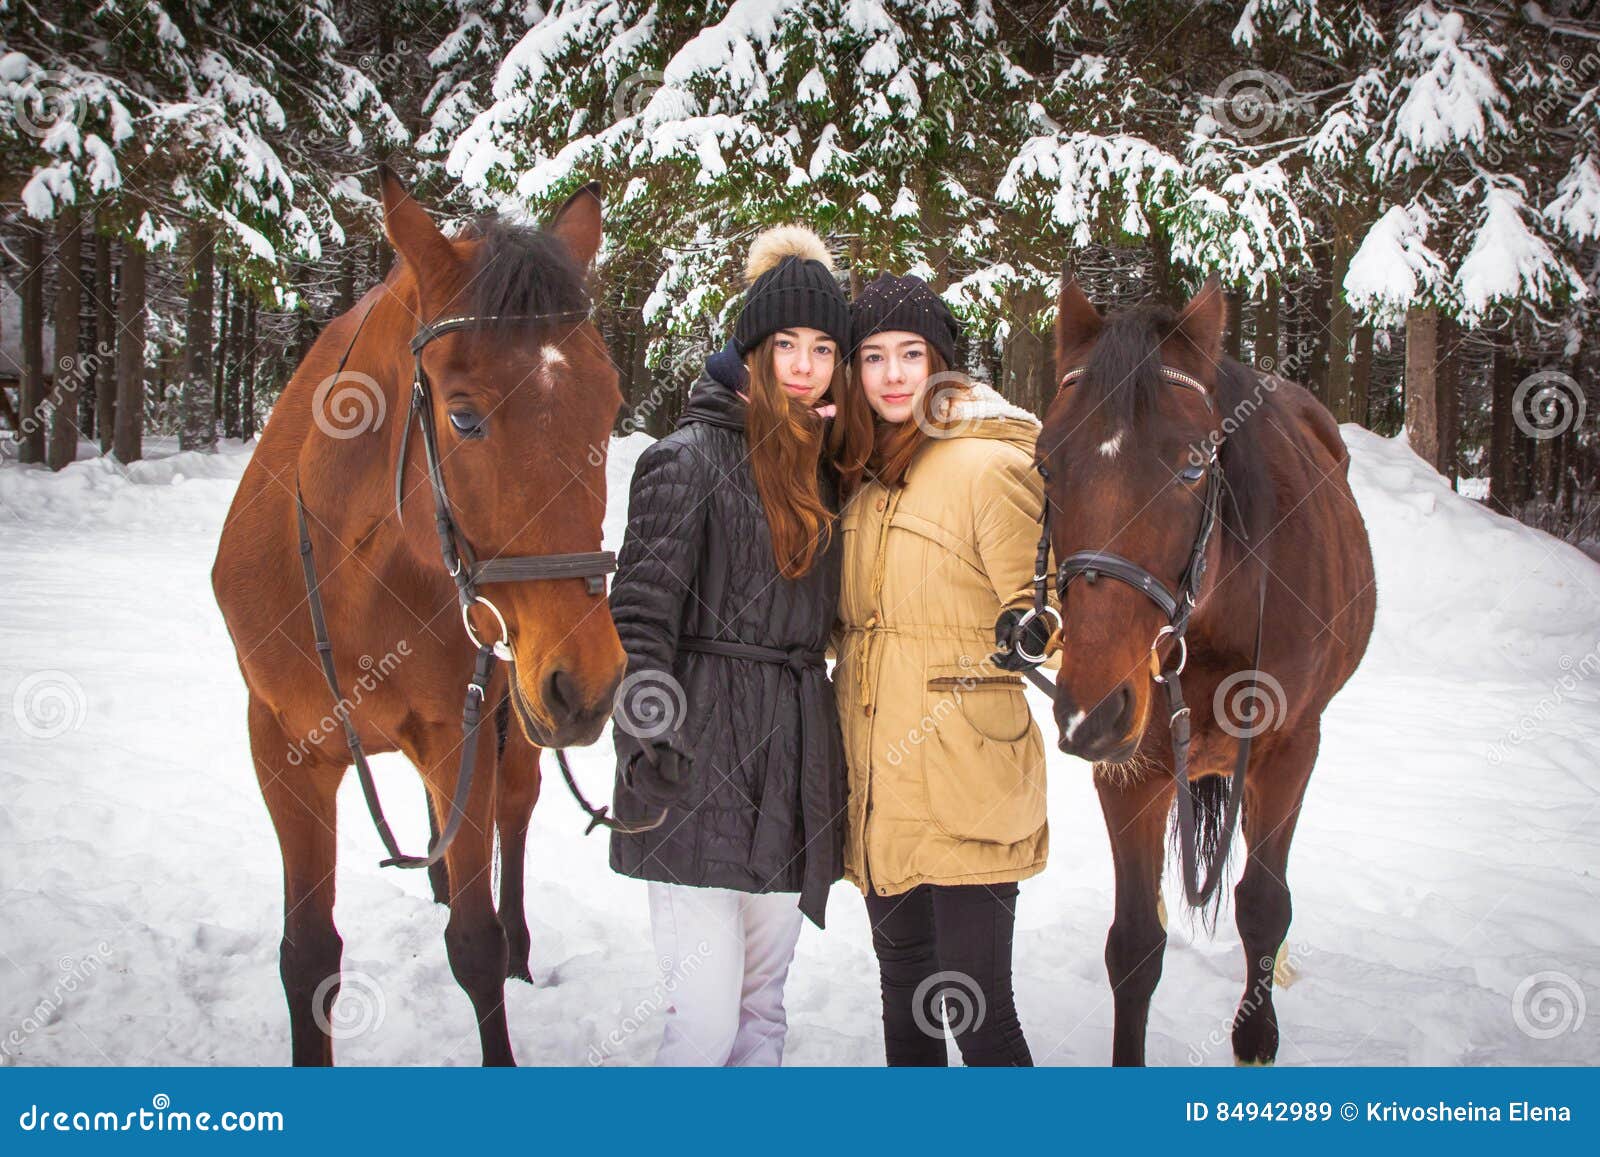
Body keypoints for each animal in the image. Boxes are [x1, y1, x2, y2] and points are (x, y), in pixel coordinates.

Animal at [211, 167, 627, 1065]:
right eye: (463, 414)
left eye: (611, 407)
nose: (590, 681)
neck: (350, 580)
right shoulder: (281, 749)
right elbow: (308, 954)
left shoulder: (460, 732)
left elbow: (476, 943)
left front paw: (497, 958)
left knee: (513, 813)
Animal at [1032, 274, 1375, 1066]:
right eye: (1044, 462)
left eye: (1193, 464)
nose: (1093, 712)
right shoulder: (1131, 768)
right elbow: (1134, 945)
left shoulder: (1290, 748)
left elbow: (1264, 904)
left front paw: (1256, 1035)